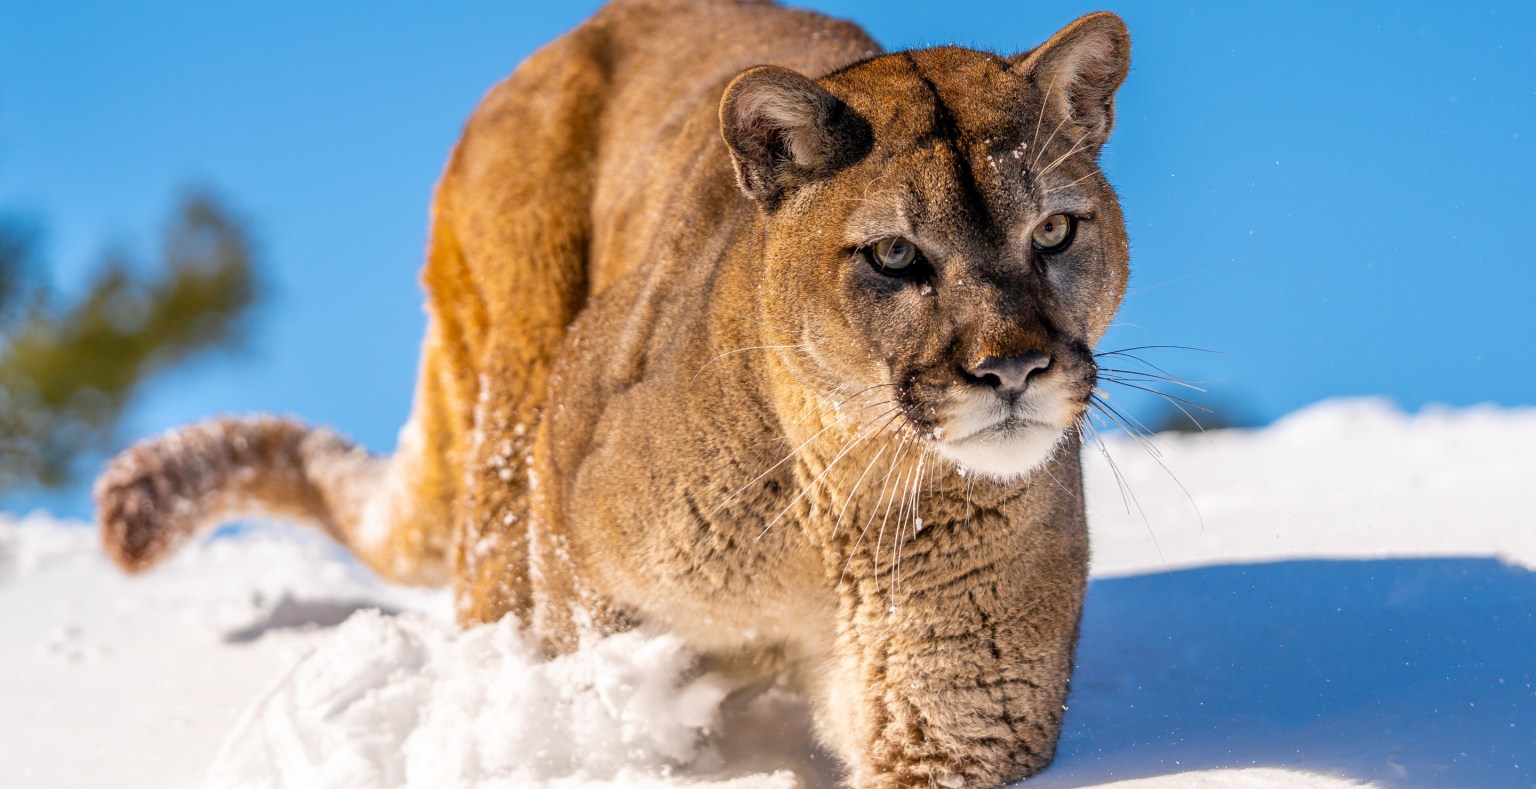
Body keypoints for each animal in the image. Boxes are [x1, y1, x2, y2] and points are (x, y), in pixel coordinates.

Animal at [95, 1, 1132, 785]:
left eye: (1053, 230)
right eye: (894, 255)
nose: (1013, 368)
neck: (838, 504)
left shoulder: (953, 722)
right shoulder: (586, 550)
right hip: (516, 403)